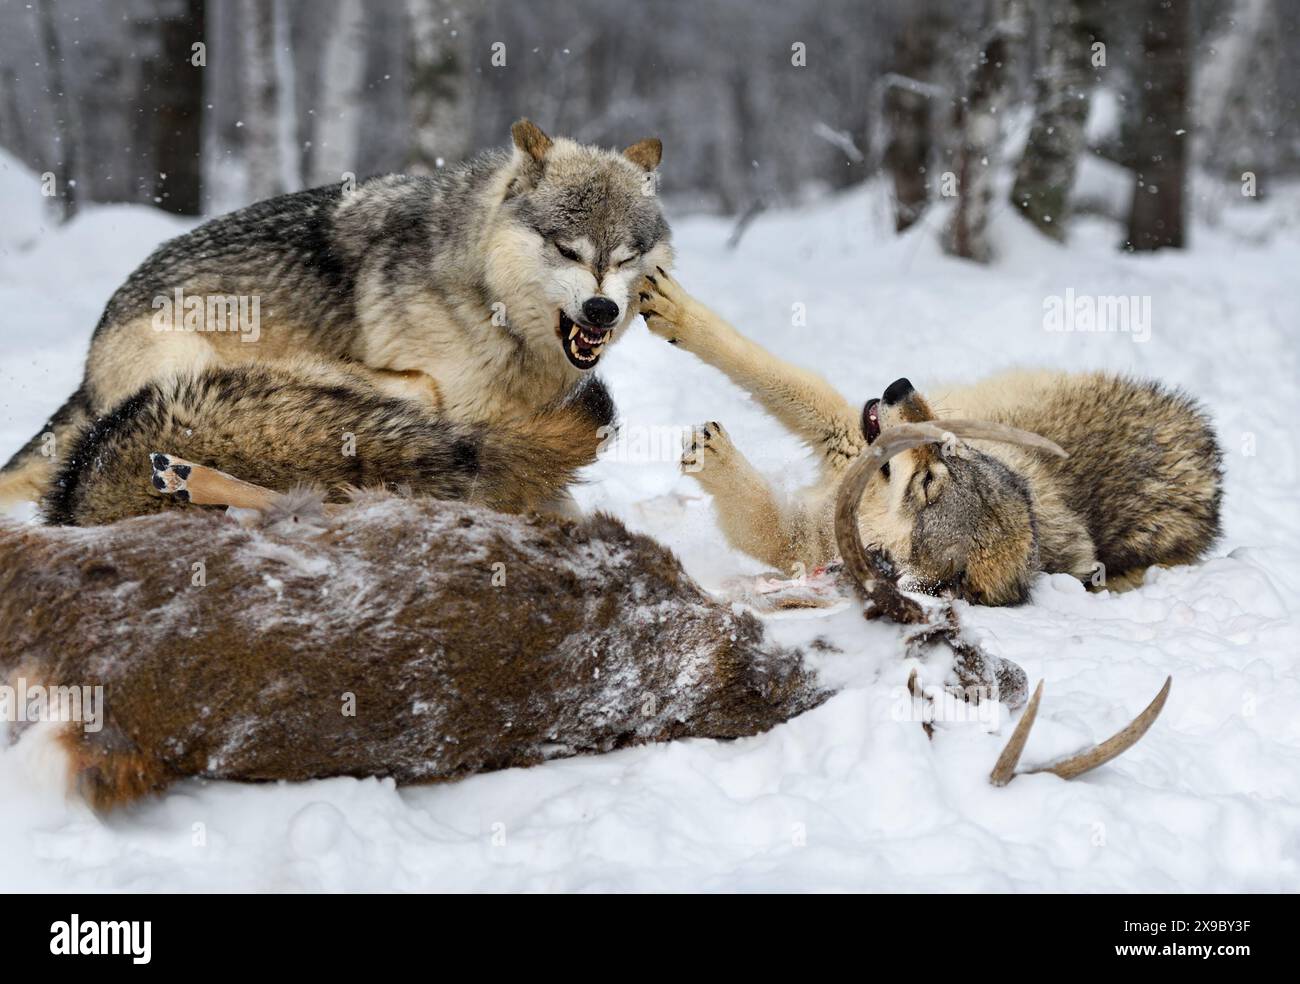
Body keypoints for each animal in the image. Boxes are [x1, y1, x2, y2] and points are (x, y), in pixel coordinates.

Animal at [0, 120, 672, 511]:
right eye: (567, 250)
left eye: (624, 256)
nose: (602, 308)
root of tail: (88, 368)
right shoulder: (442, 396)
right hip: (184, 358)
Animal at [639, 270, 1223, 606]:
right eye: (950, 448)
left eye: (926, 482)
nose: (900, 386)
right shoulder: (845, 432)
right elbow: (759, 365)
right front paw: (676, 310)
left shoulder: (800, 539)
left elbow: (760, 515)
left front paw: (714, 457)